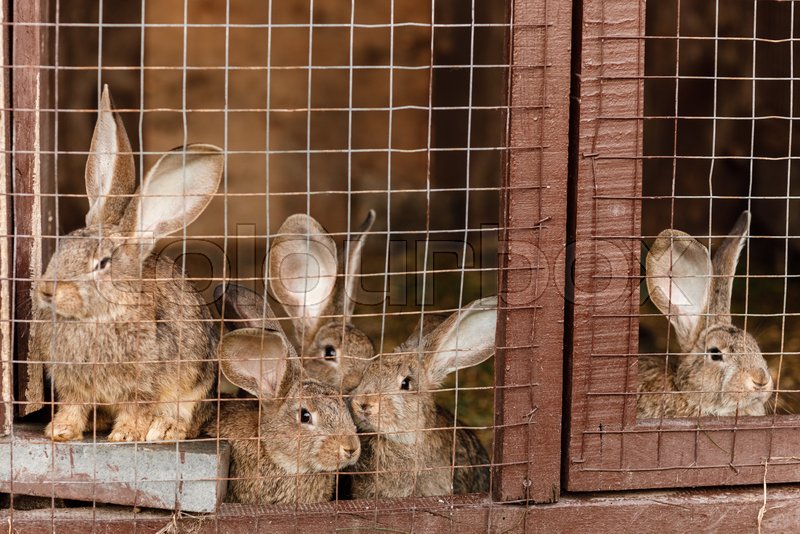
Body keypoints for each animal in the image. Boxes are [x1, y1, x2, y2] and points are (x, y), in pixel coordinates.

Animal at [30, 85, 223, 442]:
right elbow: (73, 405)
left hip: (198, 385)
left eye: (103, 263)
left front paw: (126, 435)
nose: (48, 291)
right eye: (63, 245)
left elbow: (137, 407)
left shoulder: (145, 382)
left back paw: (164, 429)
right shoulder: (72, 385)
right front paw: (60, 431)